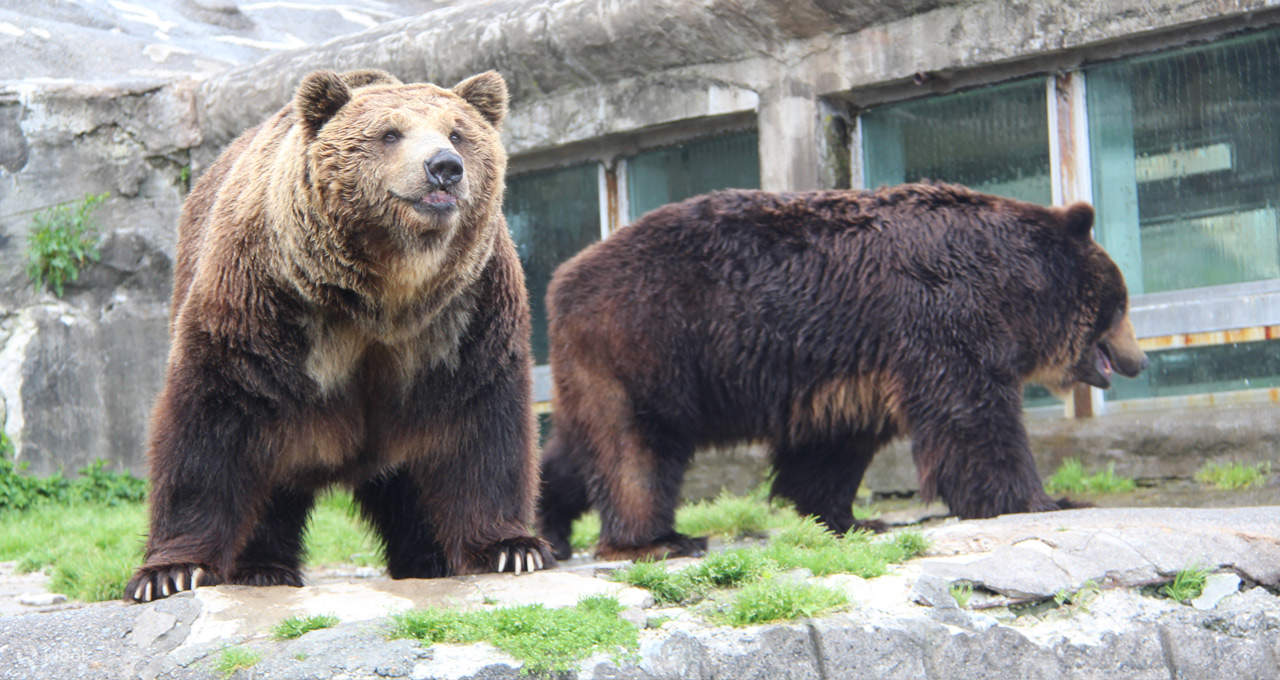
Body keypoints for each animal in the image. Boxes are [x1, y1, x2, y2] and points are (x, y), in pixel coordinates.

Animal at [126, 68, 553, 603]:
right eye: (389, 134)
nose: (444, 167)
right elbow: (210, 421)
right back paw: (263, 568)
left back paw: (428, 558)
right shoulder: (261, 306)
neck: (381, 295)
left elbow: (483, 423)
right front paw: (171, 571)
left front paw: (511, 548)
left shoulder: (463, 318)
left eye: (457, 133)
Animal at [537, 183, 1148, 561]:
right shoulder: (944, 315)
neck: (1014, 291)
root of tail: (563, 277)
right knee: (635, 449)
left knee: (576, 447)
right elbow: (974, 420)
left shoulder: (851, 364)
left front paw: (852, 518)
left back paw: (549, 528)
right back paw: (659, 540)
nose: (1139, 360)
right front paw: (1044, 498)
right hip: (649, 341)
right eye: (1120, 304)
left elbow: (831, 448)